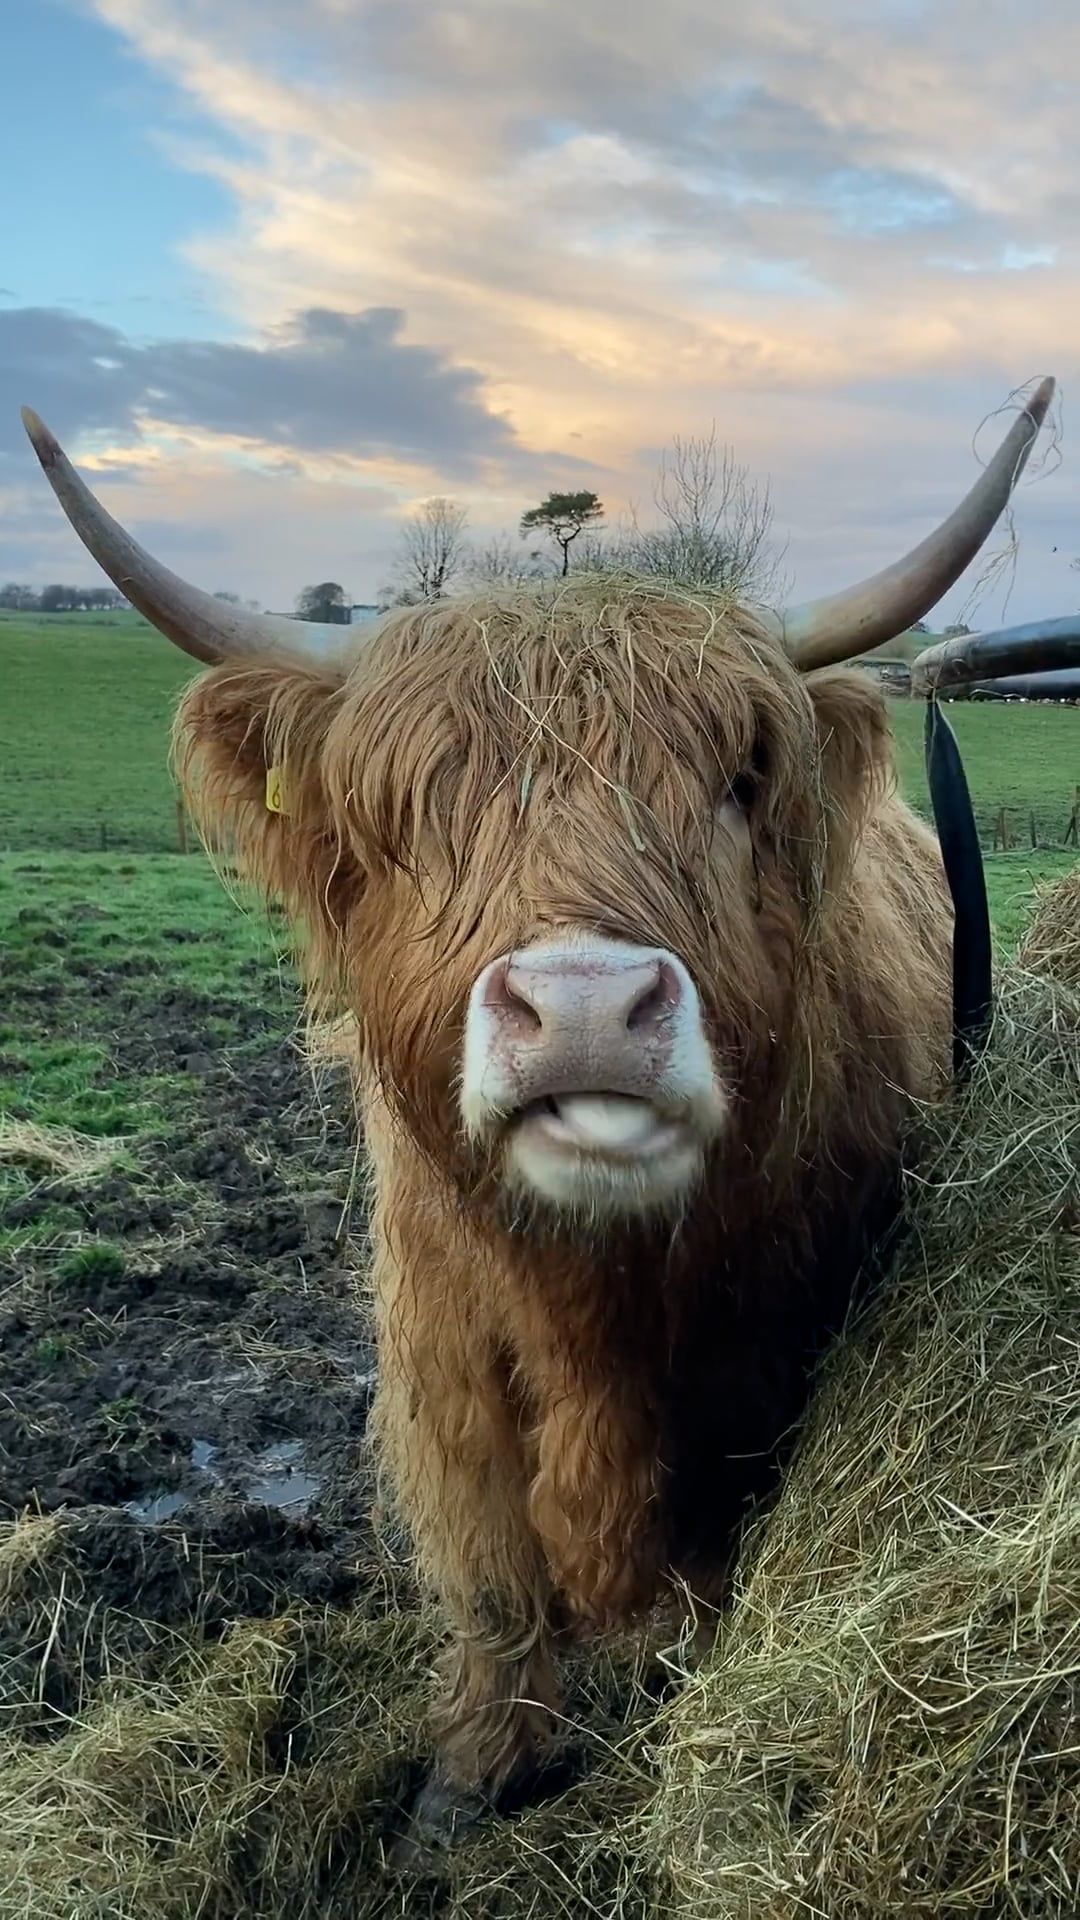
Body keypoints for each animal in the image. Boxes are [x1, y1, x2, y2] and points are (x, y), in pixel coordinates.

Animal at [20, 380, 1068, 1868]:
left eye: (739, 782)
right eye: (403, 813)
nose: (583, 1009)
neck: (595, 1313)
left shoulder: (767, 1375)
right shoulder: (447, 1367)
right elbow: (494, 1574)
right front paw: (469, 1779)